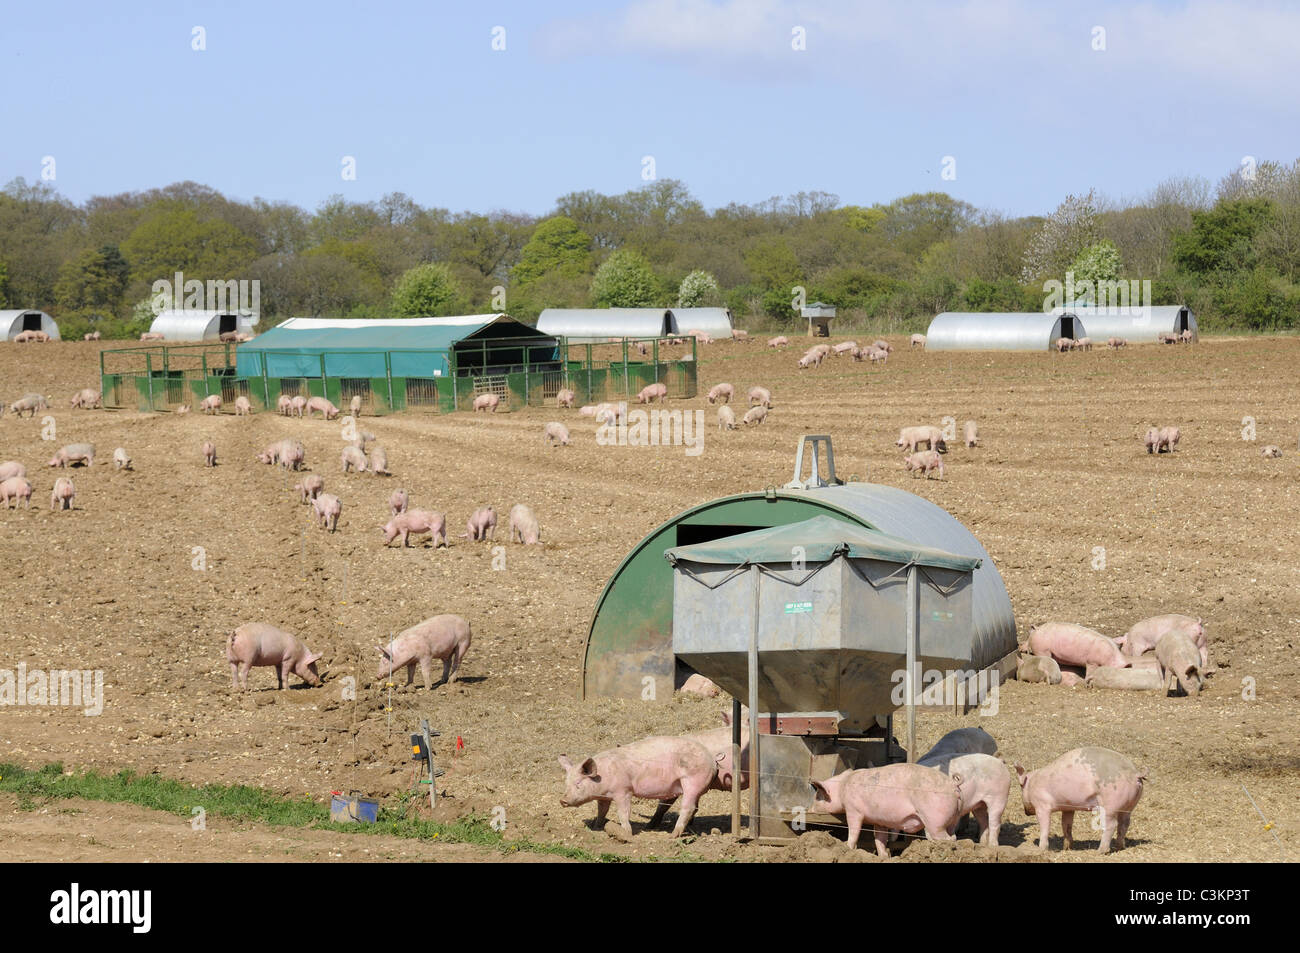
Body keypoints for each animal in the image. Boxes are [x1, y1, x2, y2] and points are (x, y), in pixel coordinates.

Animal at [558, 736, 717, 838]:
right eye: (566, 783)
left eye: (578, 783)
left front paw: (627, 833)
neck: (603, 776)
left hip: (692, 781)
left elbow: (623, 812)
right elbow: (602, 811)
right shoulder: (603, 797)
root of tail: (712, 761)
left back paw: (672, 836)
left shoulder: (624, 791)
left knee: (688, 808)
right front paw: (597, 827)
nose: (562, 800)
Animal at [810, 764, 962, 856]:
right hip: (954, 818)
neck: (842, 787)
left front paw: (848, 848)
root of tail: (953, 783)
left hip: (934, 820)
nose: (810, 810)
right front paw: (883, 856)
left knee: (946, 838)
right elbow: (879, 839)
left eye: (818, 796)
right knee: (954, 836)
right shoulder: (879, 821)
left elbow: (854, 831)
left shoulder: (853, 810)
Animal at [1014, 747, 1146, 853]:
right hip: (1129, 806)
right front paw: (1067, 848)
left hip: (1110, 804)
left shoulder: (1042, 805)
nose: (1026, 812)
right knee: (1125, 823)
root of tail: (1135, 773)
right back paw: (1118, 848)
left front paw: (1041, 849)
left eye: (1021, 787)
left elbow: (1045, 826)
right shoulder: (1068, 807)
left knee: (1111, 825)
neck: (1032, 784)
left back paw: (1100, 851)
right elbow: (1066, 825)